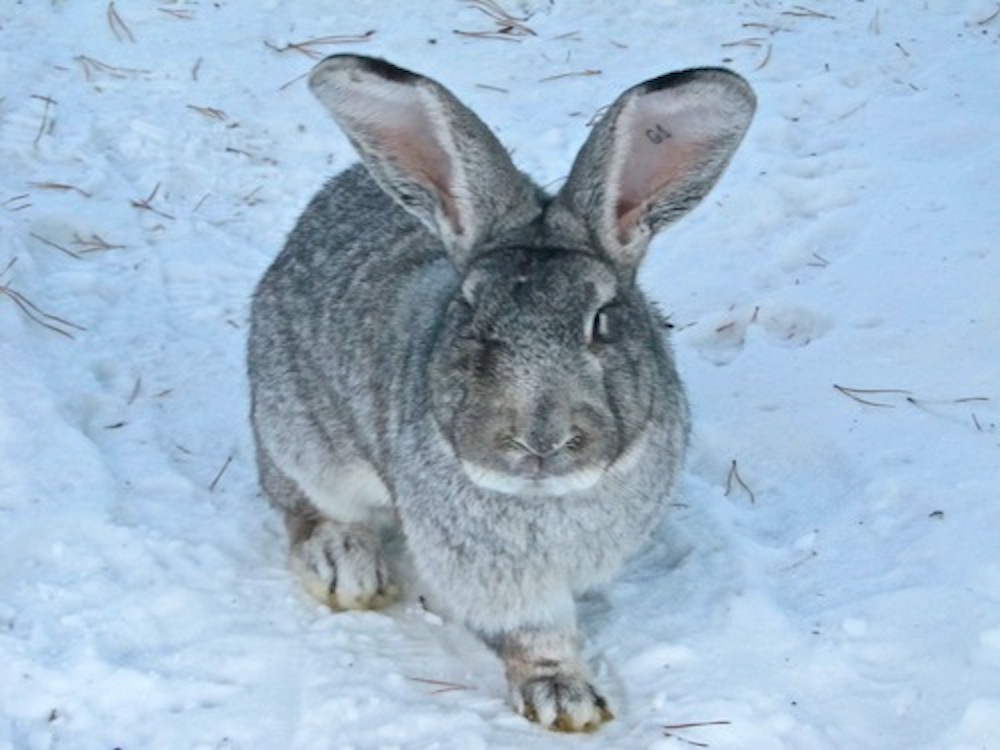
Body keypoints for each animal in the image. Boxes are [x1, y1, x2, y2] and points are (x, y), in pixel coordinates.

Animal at [248, 54, 754, 732]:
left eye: (600, 320)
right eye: (470, 313)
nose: (538, 441)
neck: (549, 497)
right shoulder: (491, 574)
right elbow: (533, 636)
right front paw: (564, 700)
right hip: (299, 432)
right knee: (302, 502)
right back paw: (346, 565)